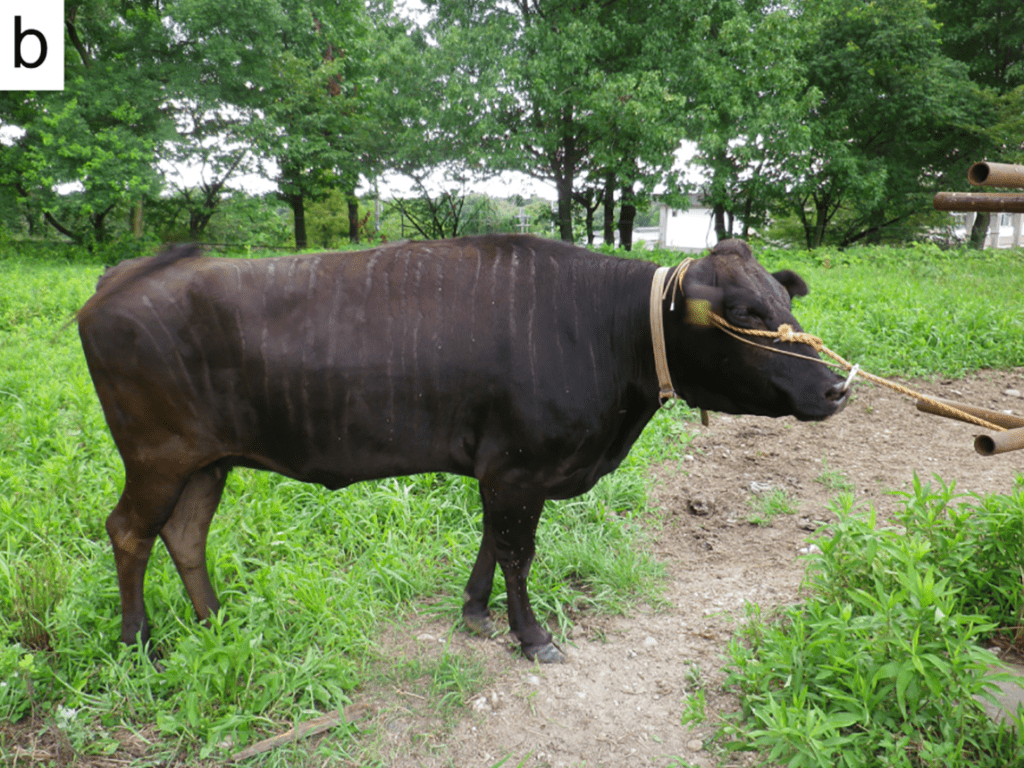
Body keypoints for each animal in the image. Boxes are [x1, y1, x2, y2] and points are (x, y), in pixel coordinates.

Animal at [77, 234, 847, 664]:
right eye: (743, 313)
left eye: (786, 305)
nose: (838, 386)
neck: (605, 330)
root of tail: (130, 271)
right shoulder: (519, 466)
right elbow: (517, 552)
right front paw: (531, 635)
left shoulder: (499, 467)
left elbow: (490, 543)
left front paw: (475, 613)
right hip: (157, 455)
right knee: (129, 531)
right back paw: (141, 644)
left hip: (205, 461)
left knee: (184, 533)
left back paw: (215, 623)